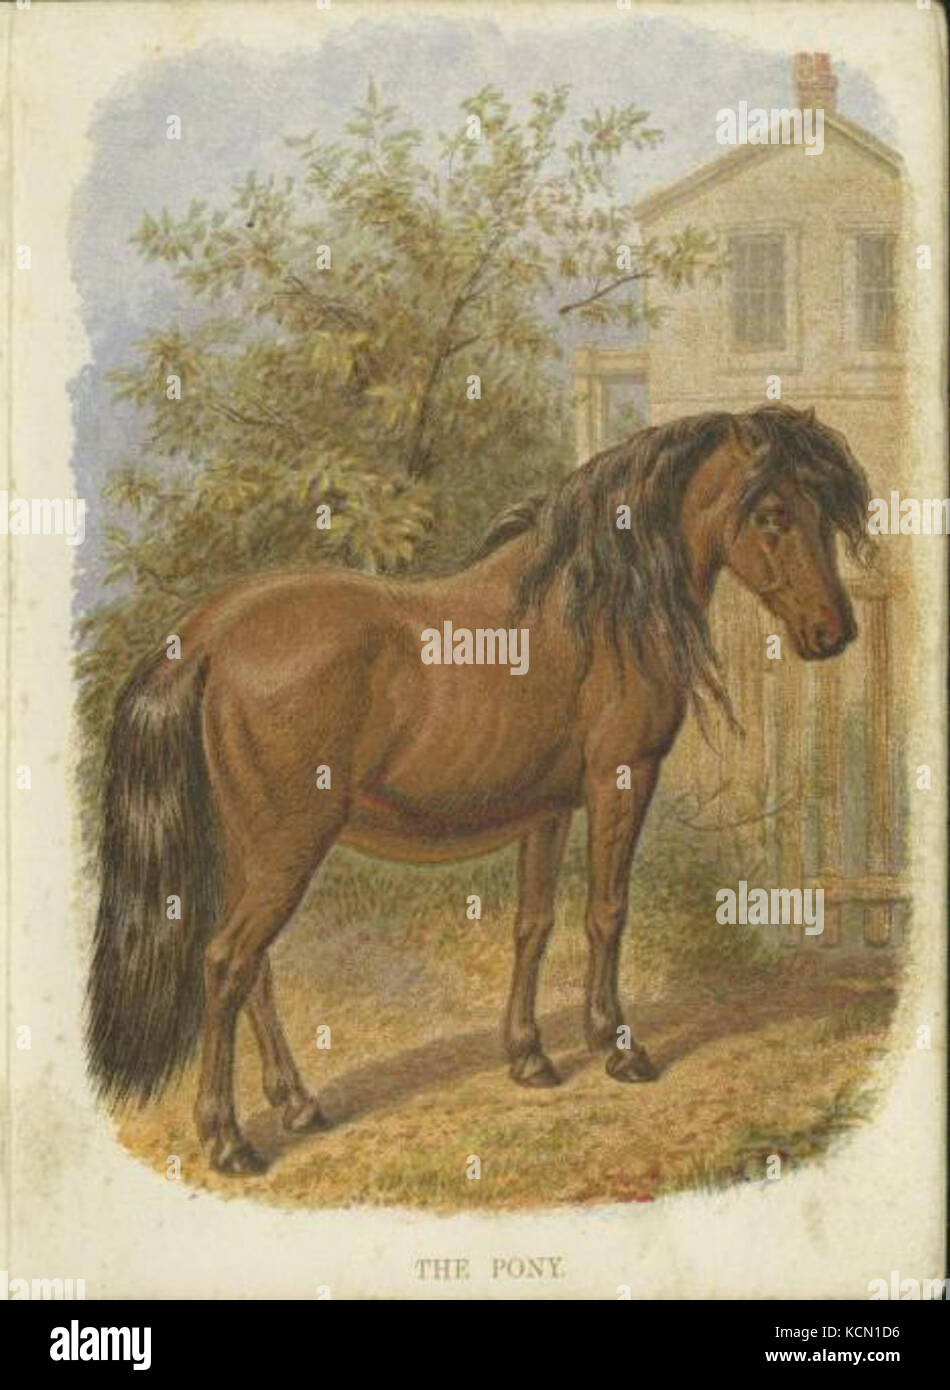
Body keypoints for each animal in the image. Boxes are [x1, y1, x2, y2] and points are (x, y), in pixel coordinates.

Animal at [86, 403, 871, 1174]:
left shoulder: (549, 810)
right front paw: (618, 1047)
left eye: (825, 513)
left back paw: (300, 1106)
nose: (833, 632)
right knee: (227, 964)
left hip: (252, 847)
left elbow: (534, 925)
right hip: (288, 845)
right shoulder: (621, 781)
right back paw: (228, 1140)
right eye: (771, 513)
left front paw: (530, 1057)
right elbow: (606, 912)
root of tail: (207, 636)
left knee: (256, 972)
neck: (595, 610)